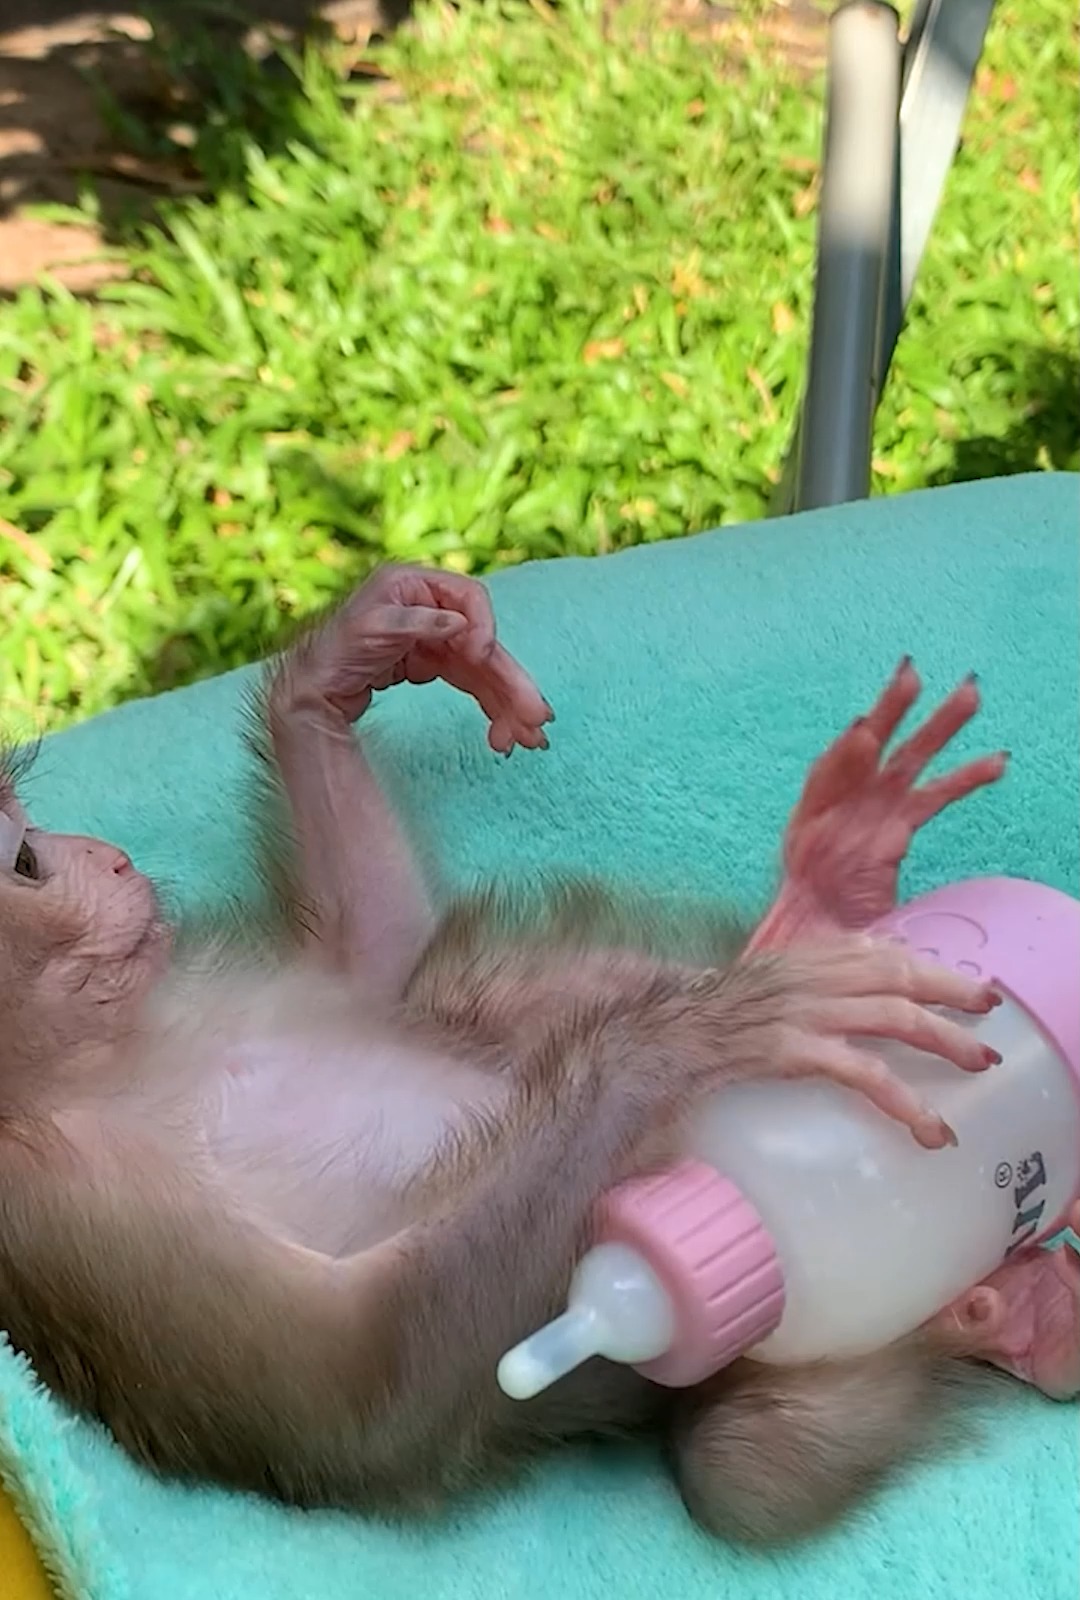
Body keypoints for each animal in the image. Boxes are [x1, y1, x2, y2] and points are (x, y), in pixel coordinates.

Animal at [0, 564, 1073, 1546]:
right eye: (25, 862)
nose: (113, 859)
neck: (110, 1056)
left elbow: (388, 964)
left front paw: (344, 663)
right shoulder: (63, 1207)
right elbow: (352, 1393)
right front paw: (686, 1036)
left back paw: (832, 889)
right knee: (747, 1471)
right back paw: (999, 1311)